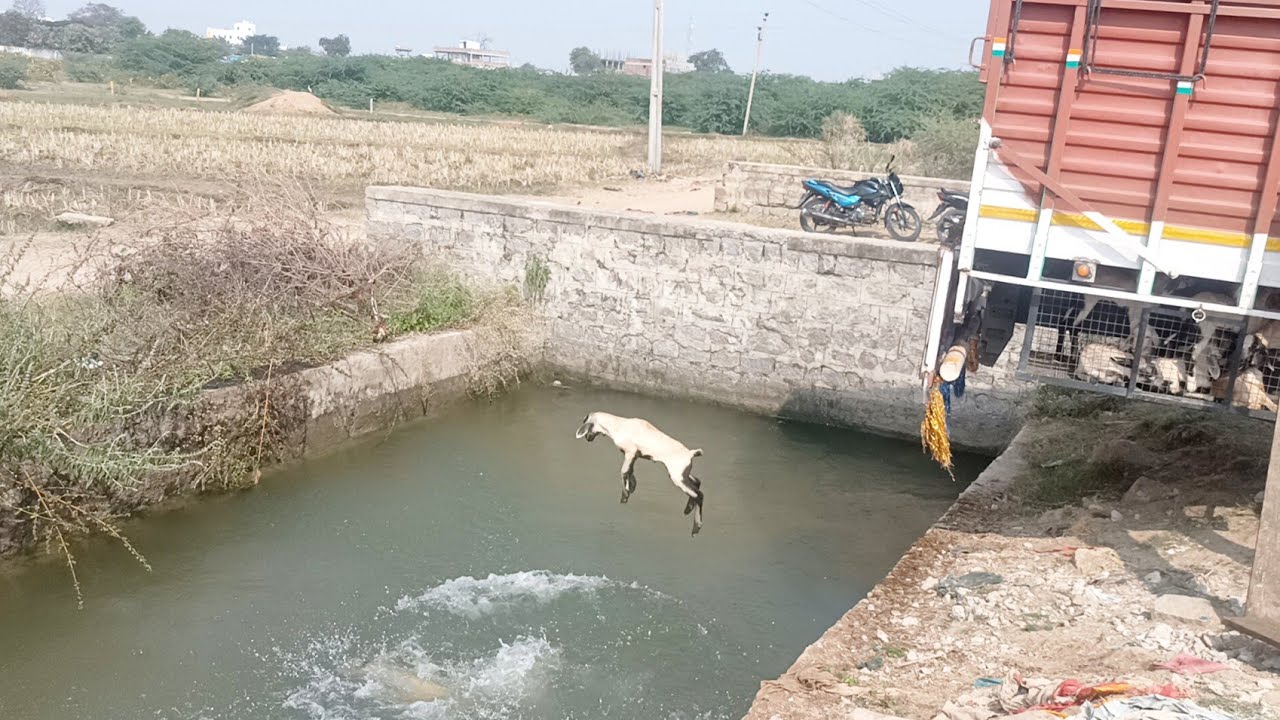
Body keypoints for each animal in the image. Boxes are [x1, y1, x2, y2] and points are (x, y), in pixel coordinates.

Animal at [576, 412, 705, 536]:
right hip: (681, 473)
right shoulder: (634, 455)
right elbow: (630, 471)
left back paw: (696, 527)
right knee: (697, 482)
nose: (587, 438)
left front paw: (625, 496)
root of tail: (691, 453)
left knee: (698, 495)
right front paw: (631, 487)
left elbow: (623, 471)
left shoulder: (630, 451)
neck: (618, 424)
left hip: (677, 477)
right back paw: (688, 509)